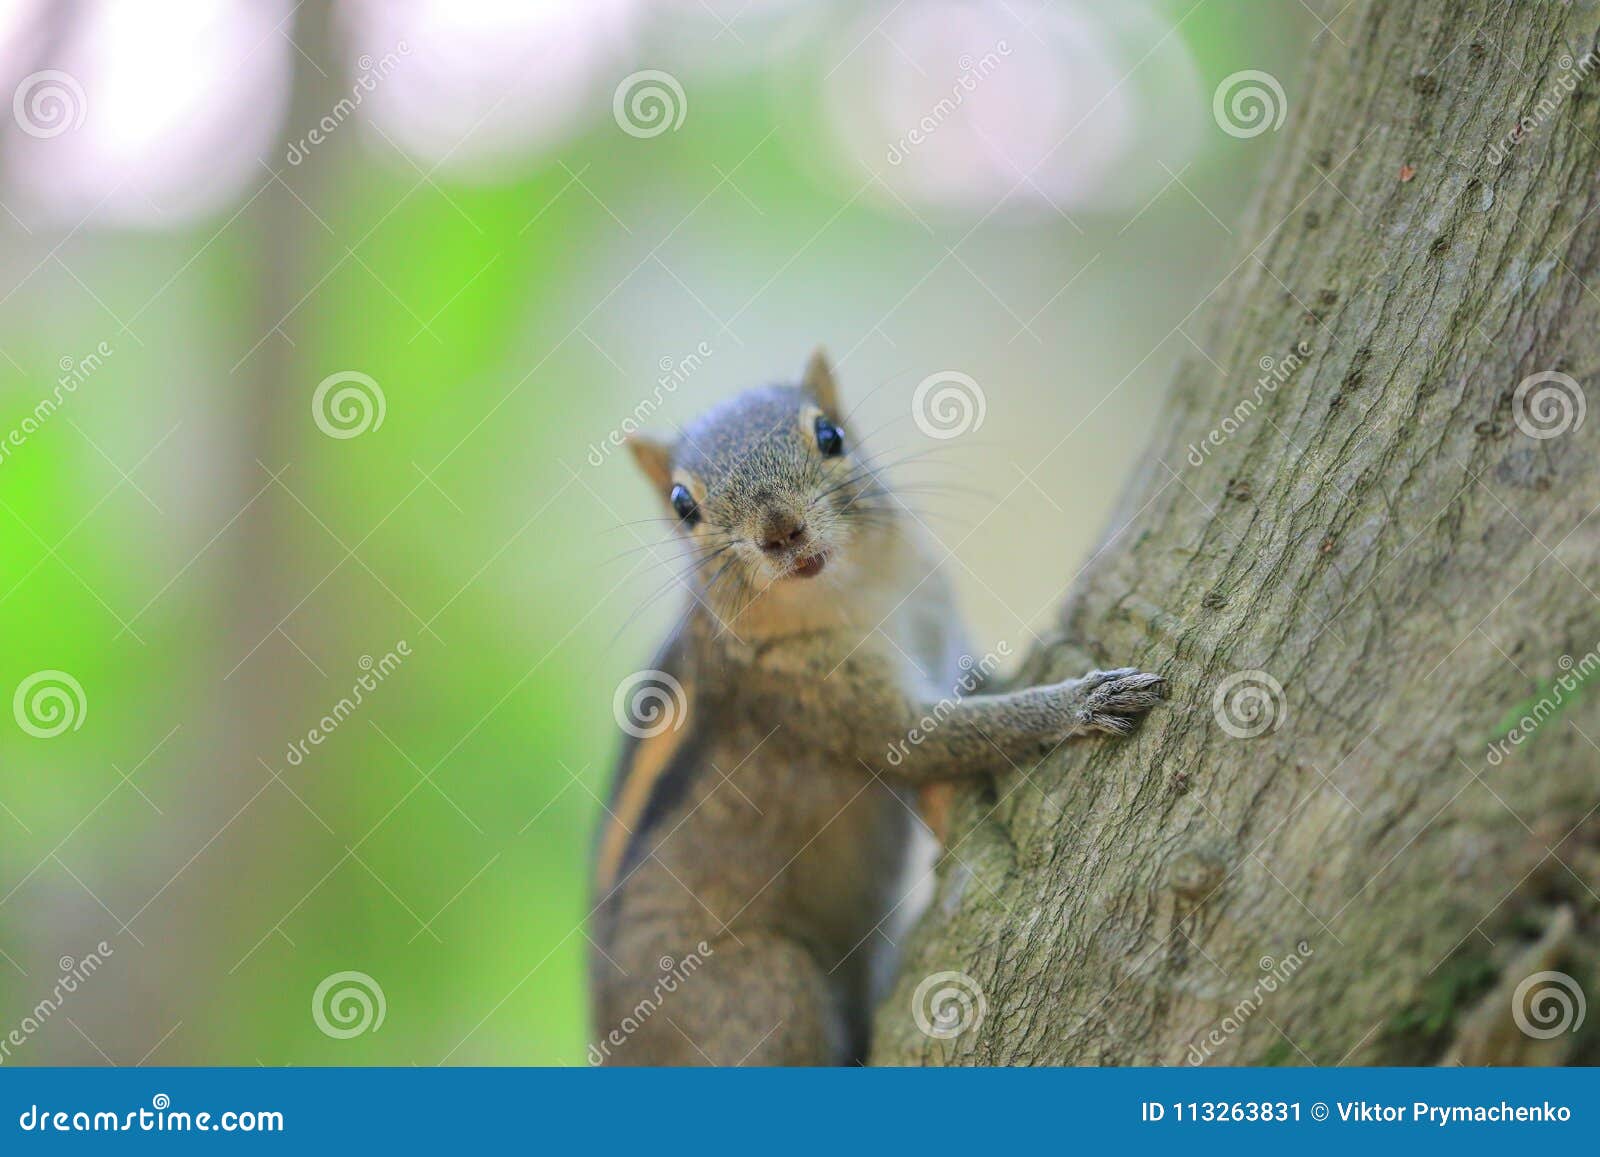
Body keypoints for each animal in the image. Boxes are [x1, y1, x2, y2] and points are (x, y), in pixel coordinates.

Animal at [588, 350, 1165, 1065]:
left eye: (831, 434)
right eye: (681, 504)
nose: (780, 530)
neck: (857, 593)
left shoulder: (936, 615)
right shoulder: (815, 695)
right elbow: (933, 738)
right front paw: (1082, 700)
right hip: (760, 991)